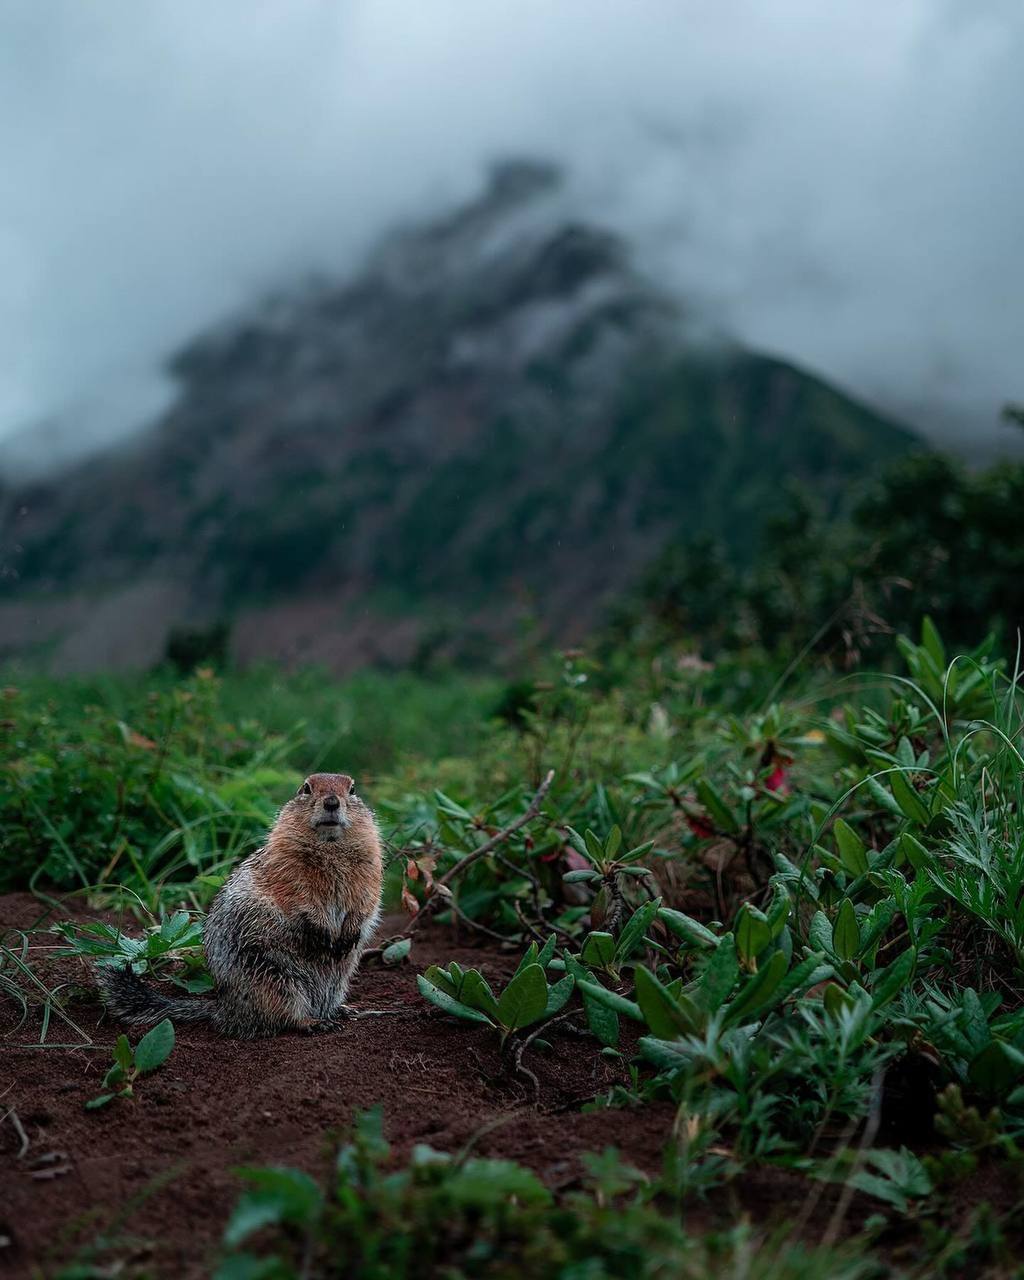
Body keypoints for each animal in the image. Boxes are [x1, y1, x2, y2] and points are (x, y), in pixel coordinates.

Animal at [96, 773, 381, 1034]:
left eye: (352, 789)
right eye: (306, 788)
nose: (332, 802)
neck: (330, 846)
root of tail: (225, 1007)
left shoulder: (369, 868)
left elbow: (366, 900)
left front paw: (349, 934)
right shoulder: (288, 869)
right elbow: (302, 898)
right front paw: (324, 931)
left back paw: (342, 1010)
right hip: (273, 979)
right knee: (282, 1017)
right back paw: (314, 1022)